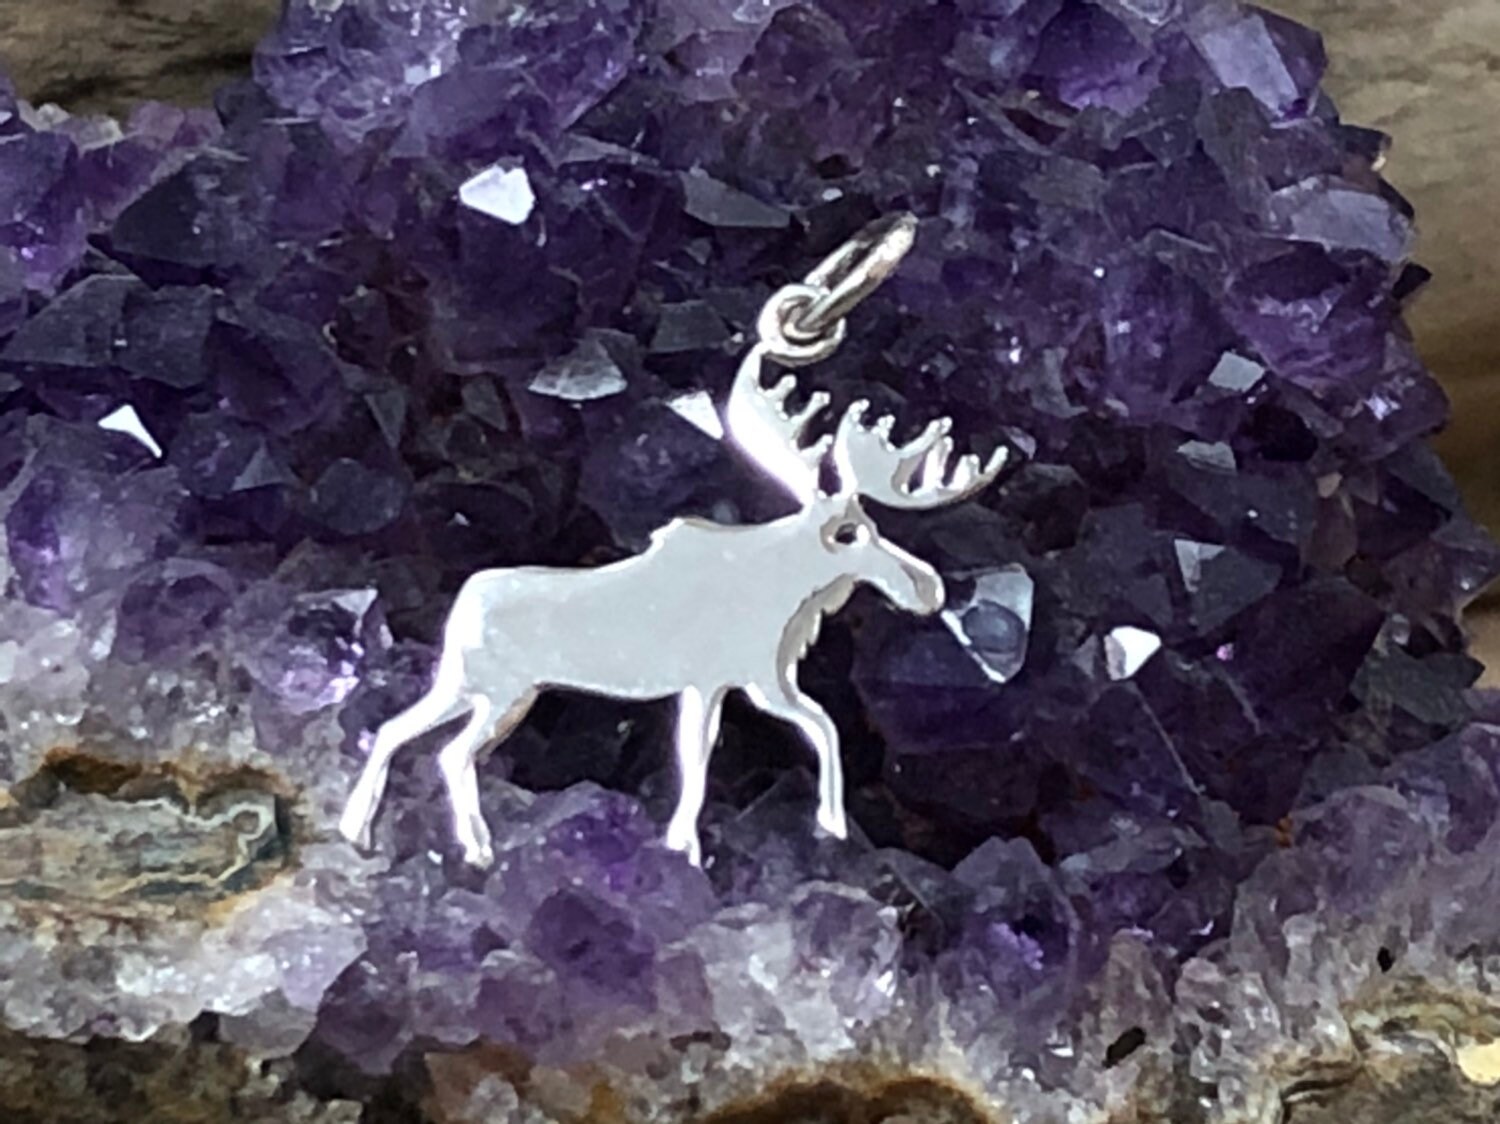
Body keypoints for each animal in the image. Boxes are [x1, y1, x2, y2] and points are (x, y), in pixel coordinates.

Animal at [337, 215, 1009, 867]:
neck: (785, 596)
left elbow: (822, 727)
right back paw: (473, 848)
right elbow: (707, 756)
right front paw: (685, 845)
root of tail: (464, 603)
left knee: (403, 731)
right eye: (851, 532)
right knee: (450, 751)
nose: (928, 588)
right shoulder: (716, 680)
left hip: (474, 684)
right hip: (497, 688)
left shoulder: (762, 680)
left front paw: (830, 822)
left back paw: (360, 828)